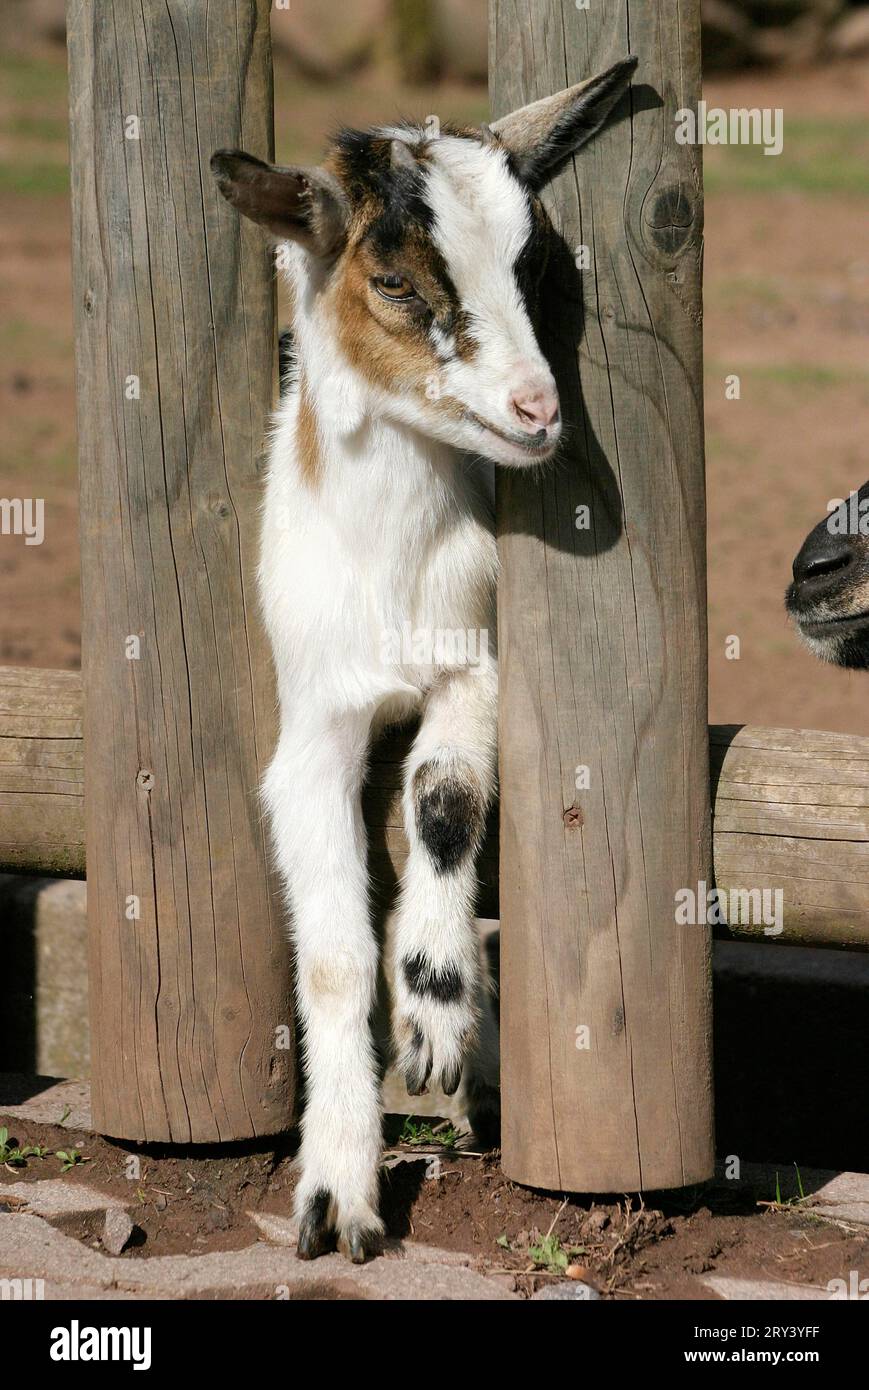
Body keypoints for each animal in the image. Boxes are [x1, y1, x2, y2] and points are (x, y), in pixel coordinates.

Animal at [210, 55, 637, 1263]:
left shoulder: (473, 662)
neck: (390, 569)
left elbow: (443, 798)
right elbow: (330, 955)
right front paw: (334, 1195)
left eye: (531, 261)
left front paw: (439, 1019)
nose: (537, 410)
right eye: (394, 281)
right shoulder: (309, 729)